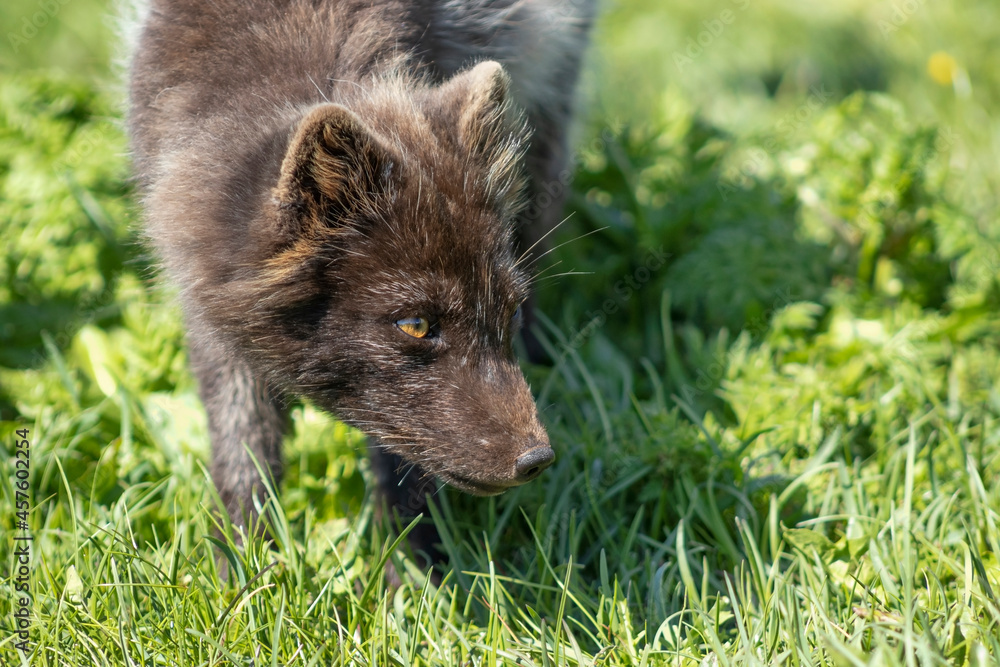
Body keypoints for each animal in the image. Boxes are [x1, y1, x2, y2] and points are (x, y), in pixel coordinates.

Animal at [126, 0, 596, 562]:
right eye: (415, 324)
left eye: (510, 309)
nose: (537, 460)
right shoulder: (207, 294)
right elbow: (243, 447)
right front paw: (241, 563)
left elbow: (404, 473)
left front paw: (418, 573)